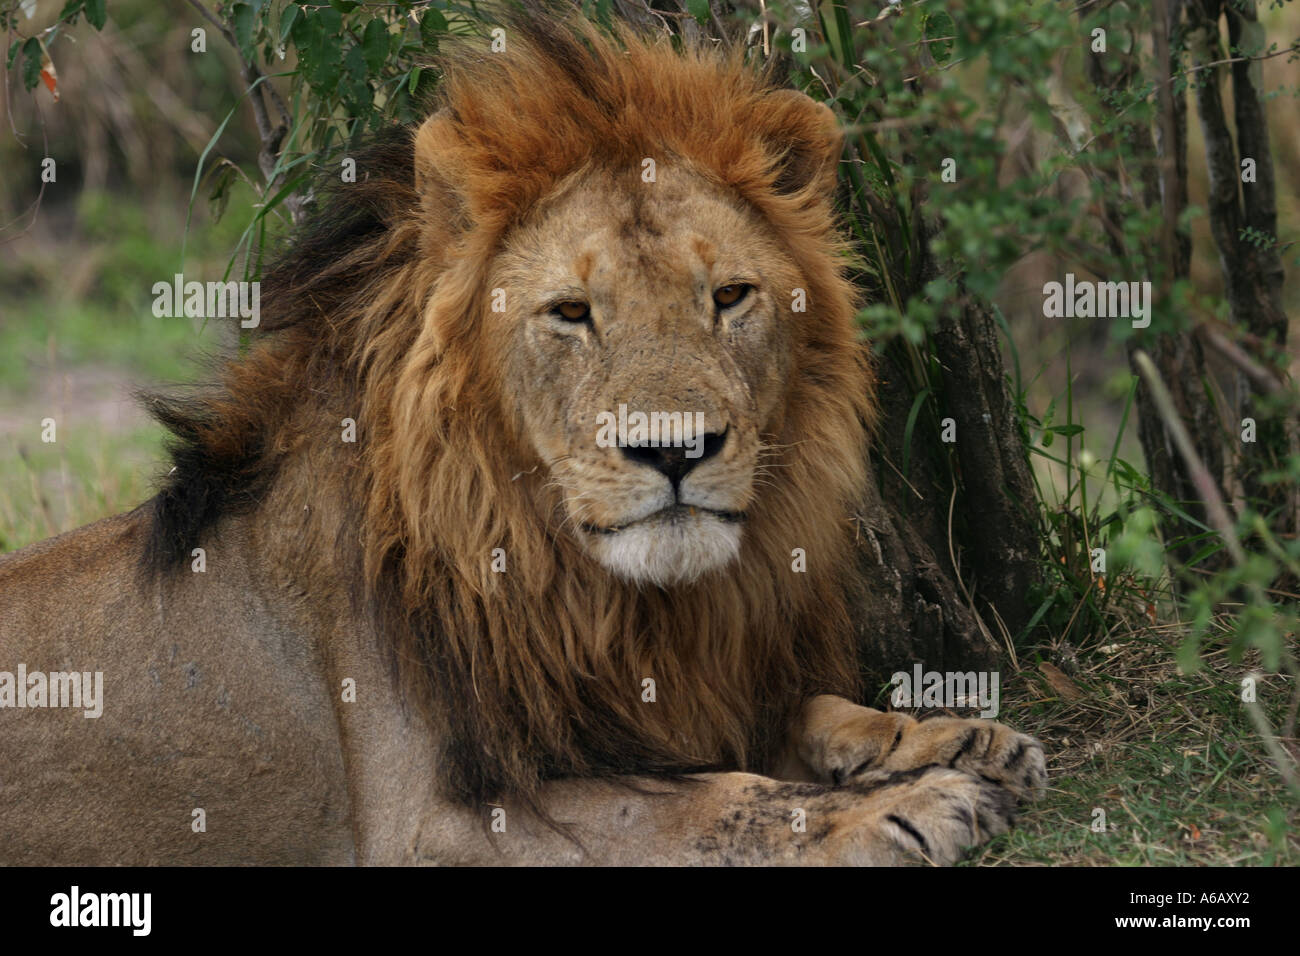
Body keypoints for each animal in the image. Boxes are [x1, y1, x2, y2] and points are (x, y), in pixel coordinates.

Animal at [0, 9, 1045, 865]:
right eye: (572, 313)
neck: (584, 587)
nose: (675, 449)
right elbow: (702, 803)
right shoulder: (441, 819)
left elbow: (804, 715)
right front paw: (904, 805)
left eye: (731, 296)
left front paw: (954, 737)